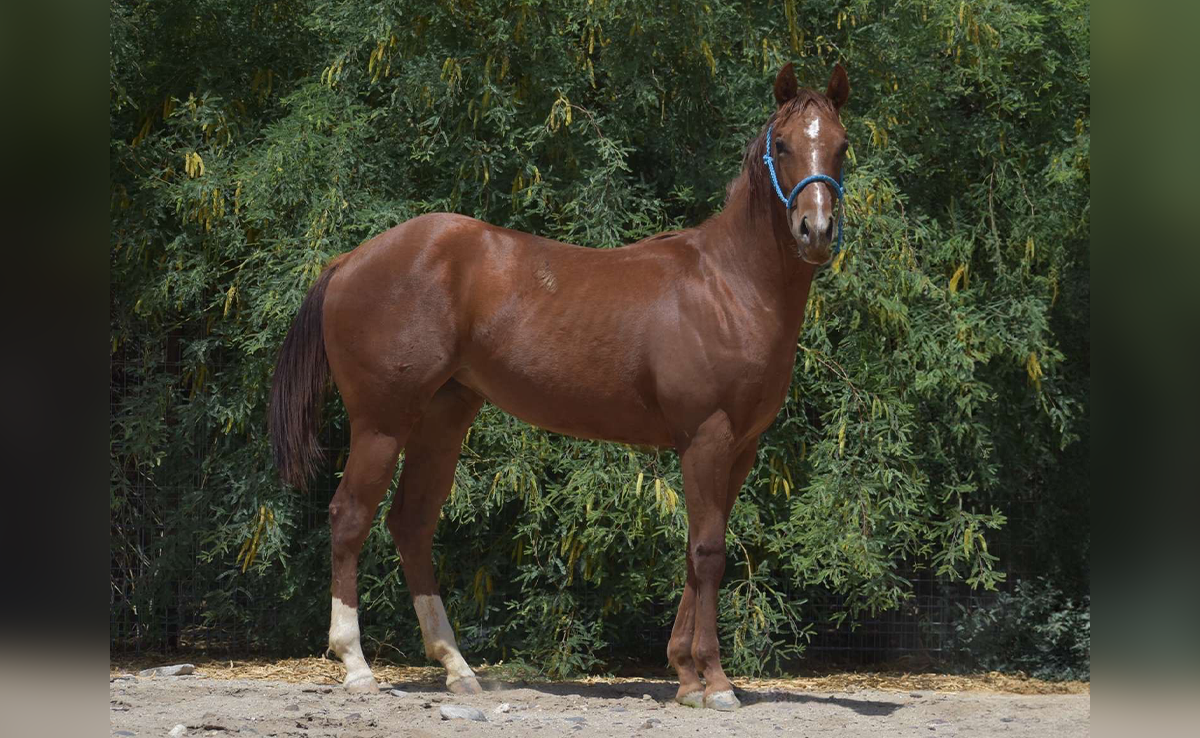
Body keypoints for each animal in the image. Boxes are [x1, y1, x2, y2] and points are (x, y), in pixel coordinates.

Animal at [269, 61, 850, 711]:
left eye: (842, 144)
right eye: (783, 145)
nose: (816, 230)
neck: (729, 287)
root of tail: (350, 261)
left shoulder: (740, 448)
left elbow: (698, 548)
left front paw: (685, 675)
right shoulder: (706, 438)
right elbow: (708, 552)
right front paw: (715, 683)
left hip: (444, 418)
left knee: (411, 523)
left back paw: (457, 667)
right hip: (381, 423)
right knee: (350, 516)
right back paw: (357, 665)